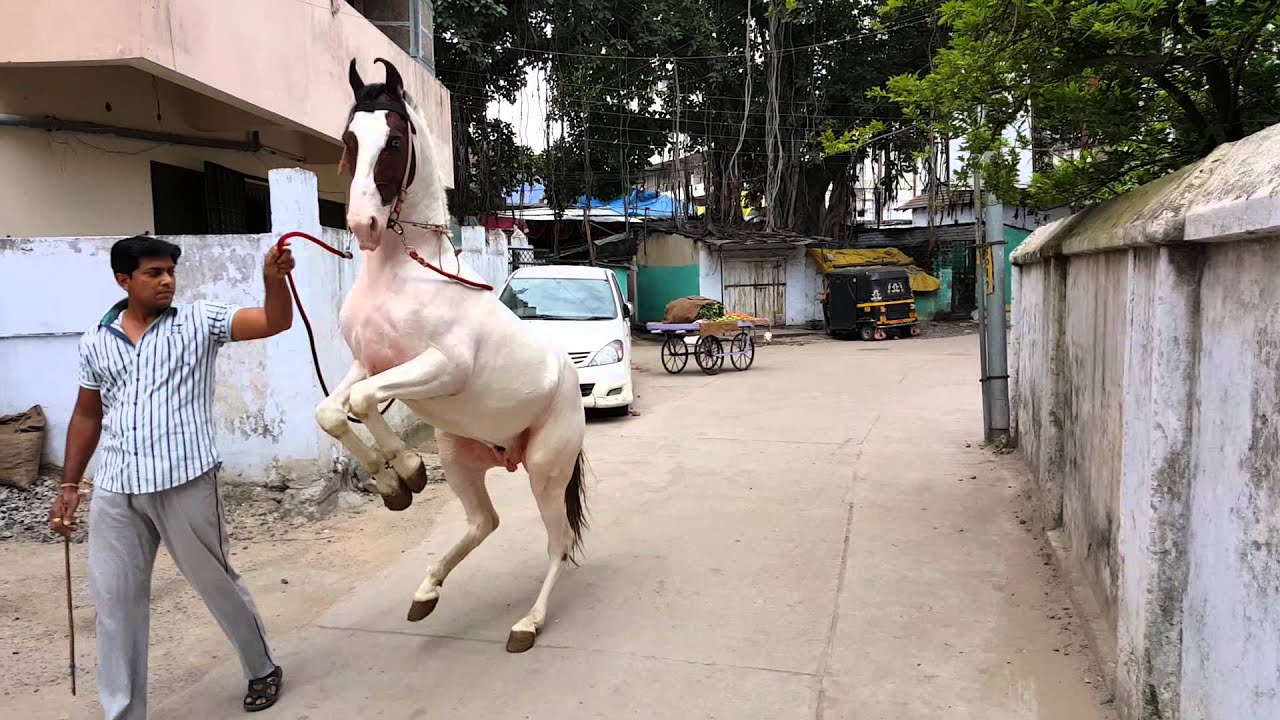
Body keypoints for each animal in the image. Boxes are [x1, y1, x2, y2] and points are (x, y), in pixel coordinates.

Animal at [314, 57, 588, 653]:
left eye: (394, 140)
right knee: (484, 523)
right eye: (349, 138)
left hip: (545, 469)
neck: (402, 274)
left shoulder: (440, 369)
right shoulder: (368, 363)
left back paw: (527, 625)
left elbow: (365, 401)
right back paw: (426, 592)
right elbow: (332, 411)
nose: (364, 226)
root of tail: (566, 377)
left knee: (556, 542)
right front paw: (393, 485)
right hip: (464, 459)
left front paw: (408, 471)